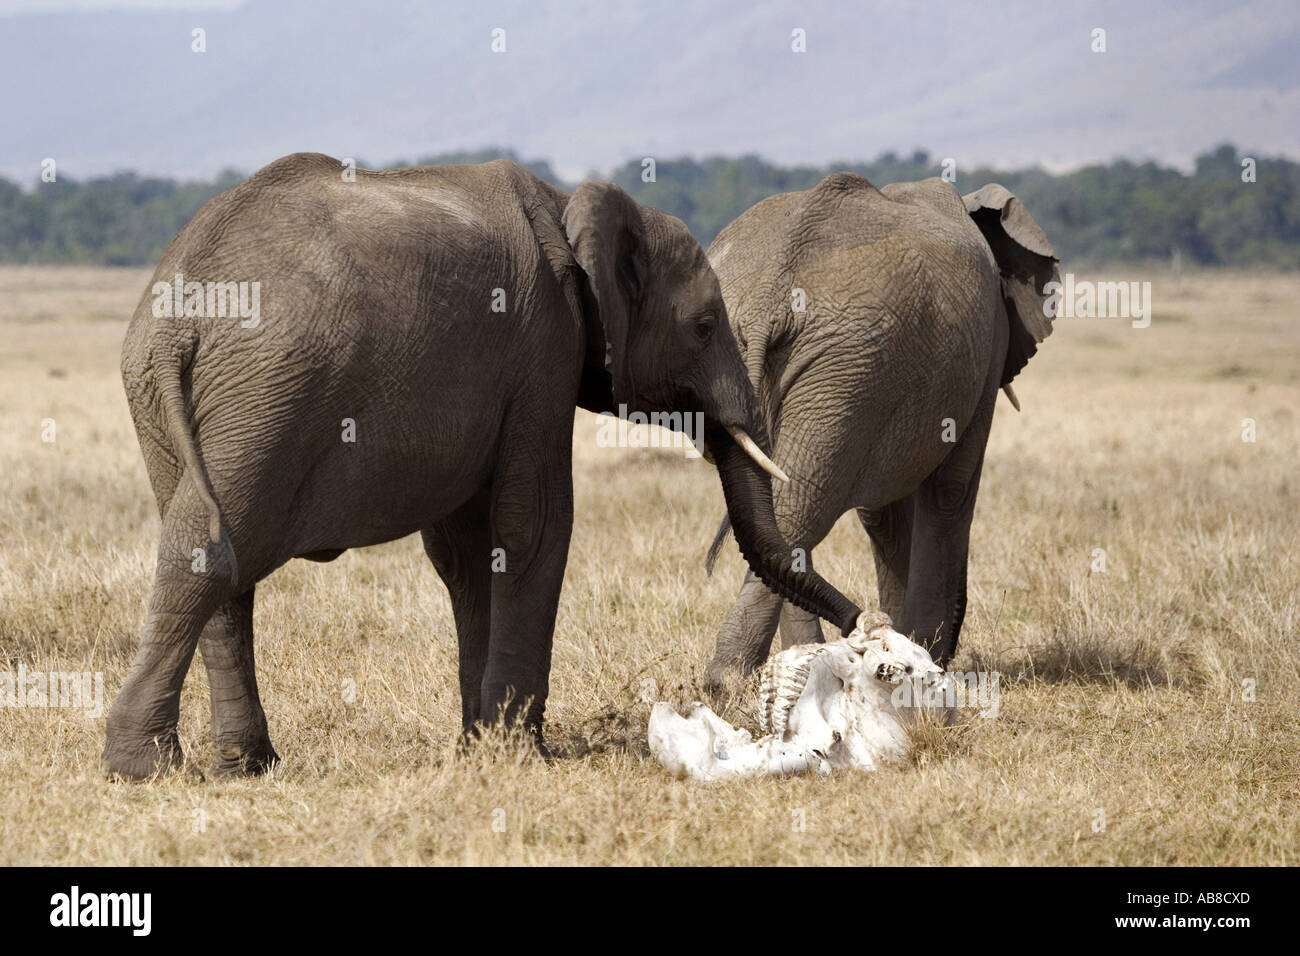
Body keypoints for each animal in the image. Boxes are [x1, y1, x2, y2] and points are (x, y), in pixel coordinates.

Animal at [104, 153, 862, 780]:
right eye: (705, 326)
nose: (861, 622)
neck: (569, 203)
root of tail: (179, 315)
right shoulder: (544, 347)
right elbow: (536, 523)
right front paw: (521, 753)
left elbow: (467, 552)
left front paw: (479, 745)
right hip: (269, 395)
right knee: (210, 550)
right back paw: (143, 768)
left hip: (175, 400)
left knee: (216, 554)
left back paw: (244, 766)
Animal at [703, 173, 1059, 688]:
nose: (865, 622)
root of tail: (771, 294)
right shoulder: (987, 349)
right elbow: (951, 491)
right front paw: (924, 660)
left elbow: (881, 514)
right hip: (849, 368)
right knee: (798, 507)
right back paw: (735, 680)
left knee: (781, 508)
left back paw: (784, 671)